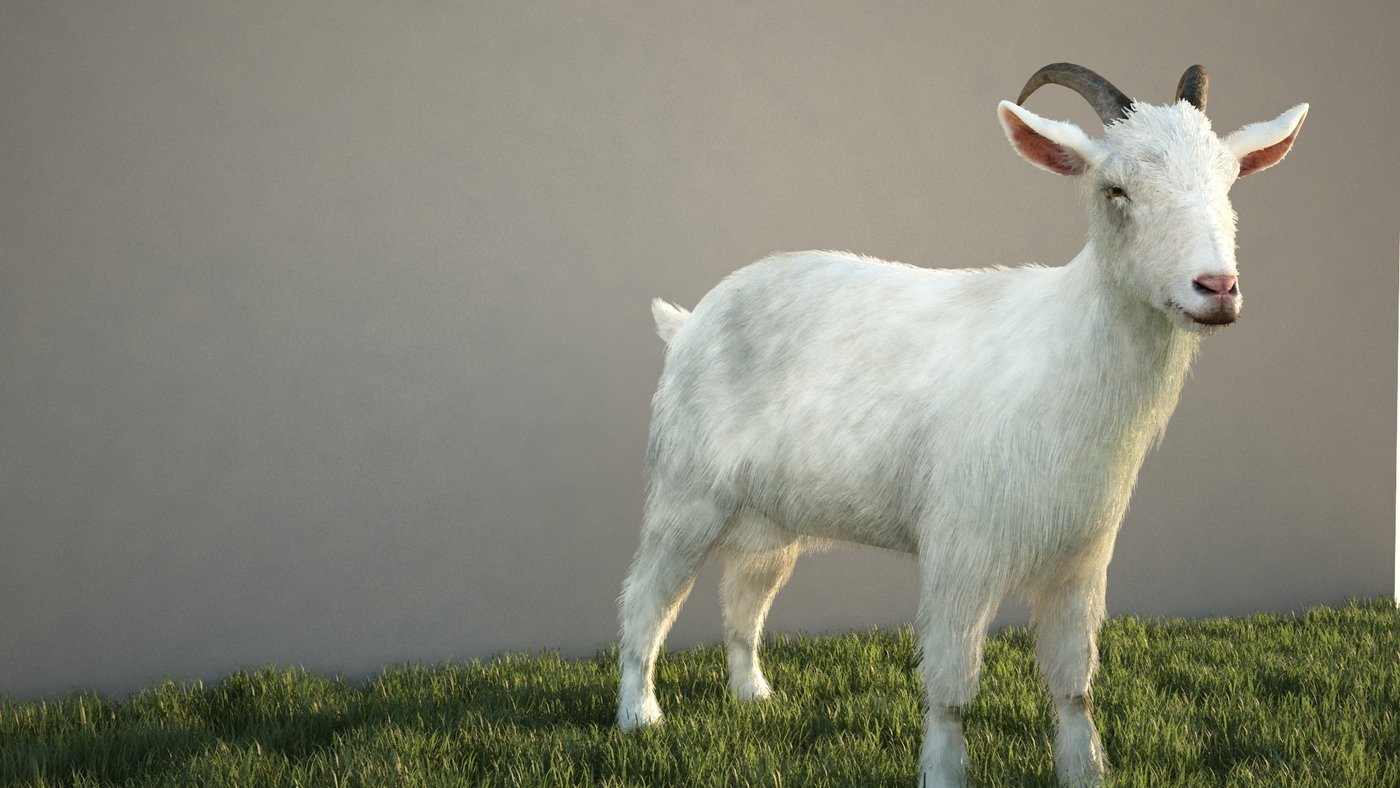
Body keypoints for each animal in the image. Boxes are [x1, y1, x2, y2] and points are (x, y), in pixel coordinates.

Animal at [617, 63, 1306, 787]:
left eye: (1230, 183)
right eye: (1114, 189)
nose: (1216, 288)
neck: (1058, 352)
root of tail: (686, 323)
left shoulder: (1080, 557)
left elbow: (1074, 684)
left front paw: (1083, 770)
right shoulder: (959, 547)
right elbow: (950, 685)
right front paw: (944, 772)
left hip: (771, 517)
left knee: (744, 596)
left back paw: (753, 695)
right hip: (684, 493)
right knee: (646, 597)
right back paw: (639, 714)